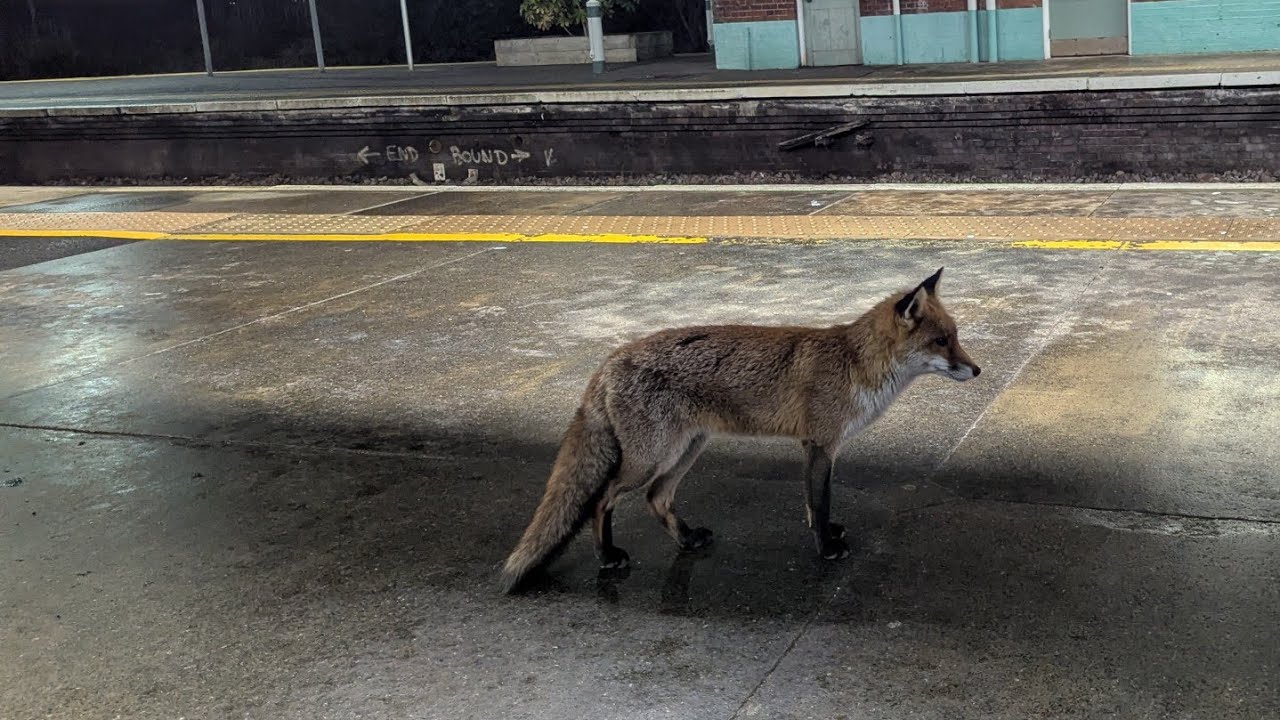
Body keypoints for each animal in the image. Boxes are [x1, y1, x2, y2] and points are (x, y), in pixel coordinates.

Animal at [499, 267, 979, 594]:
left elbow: (813, 504)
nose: (977, 370)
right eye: (941, 342)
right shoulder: (820, 443)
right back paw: (607, 556)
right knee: (602, 500)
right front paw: (826, 548)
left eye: (956, 337)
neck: (855, 366)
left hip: (687, 450)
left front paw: (824, 533)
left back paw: (686, 539)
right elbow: (819, 502)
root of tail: (610, 359)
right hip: (650, 458)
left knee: (657, 498)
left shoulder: (819, 448)